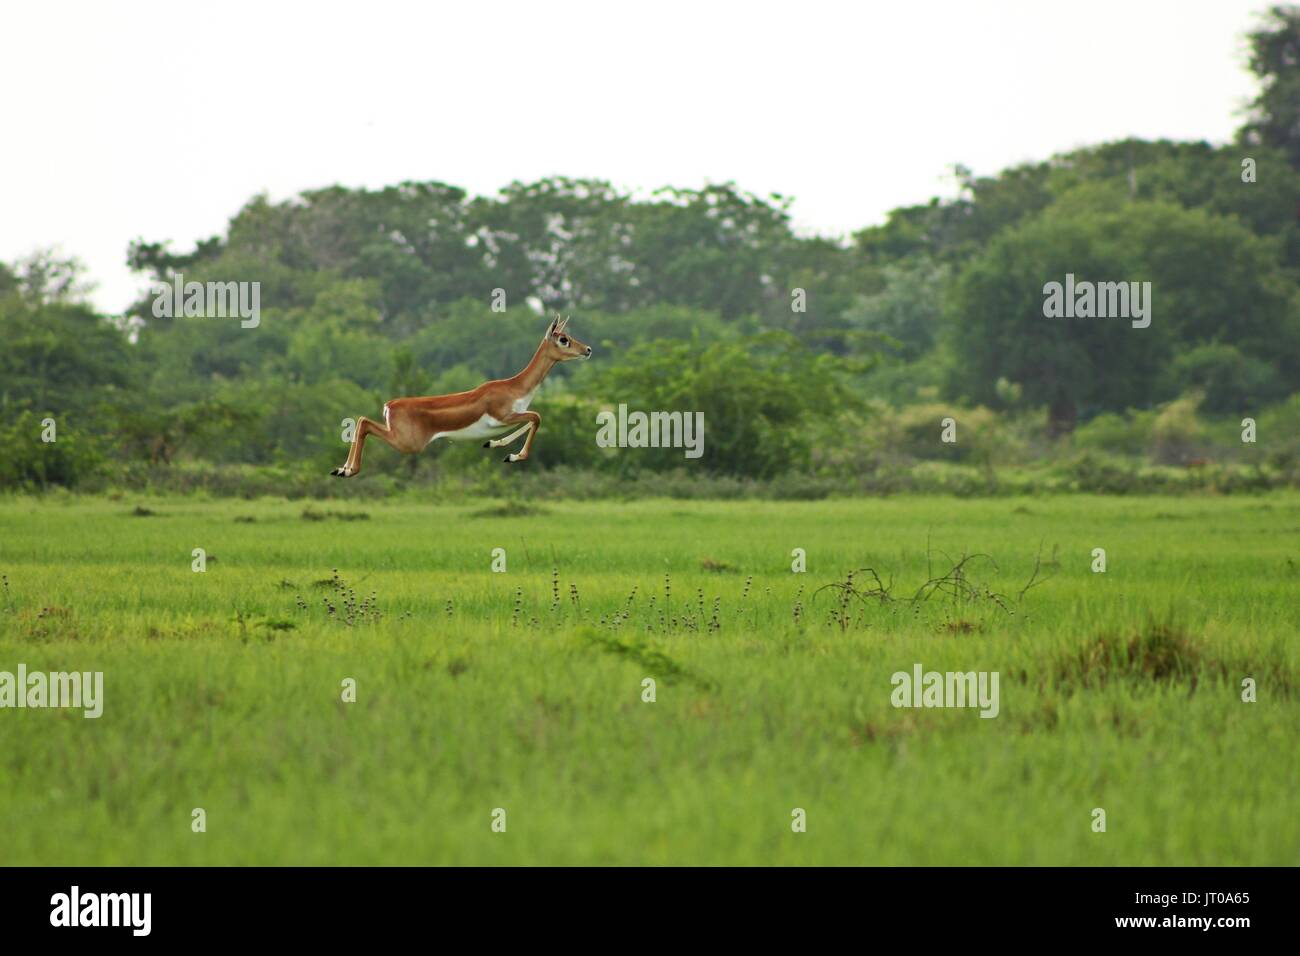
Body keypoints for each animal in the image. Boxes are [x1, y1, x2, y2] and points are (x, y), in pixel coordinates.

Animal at [331, 315, 591, 477]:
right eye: (563, 339)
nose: (587, 349)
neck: (514, 387)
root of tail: (390, 405)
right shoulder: (503, 416)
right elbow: (536, 417)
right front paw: (512, 456)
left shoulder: (512, 417)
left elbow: (531, 420)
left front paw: (494, 445)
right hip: (408, 443)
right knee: (364, 423)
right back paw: (347, 471)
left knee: (361, 421)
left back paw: (341, 470)